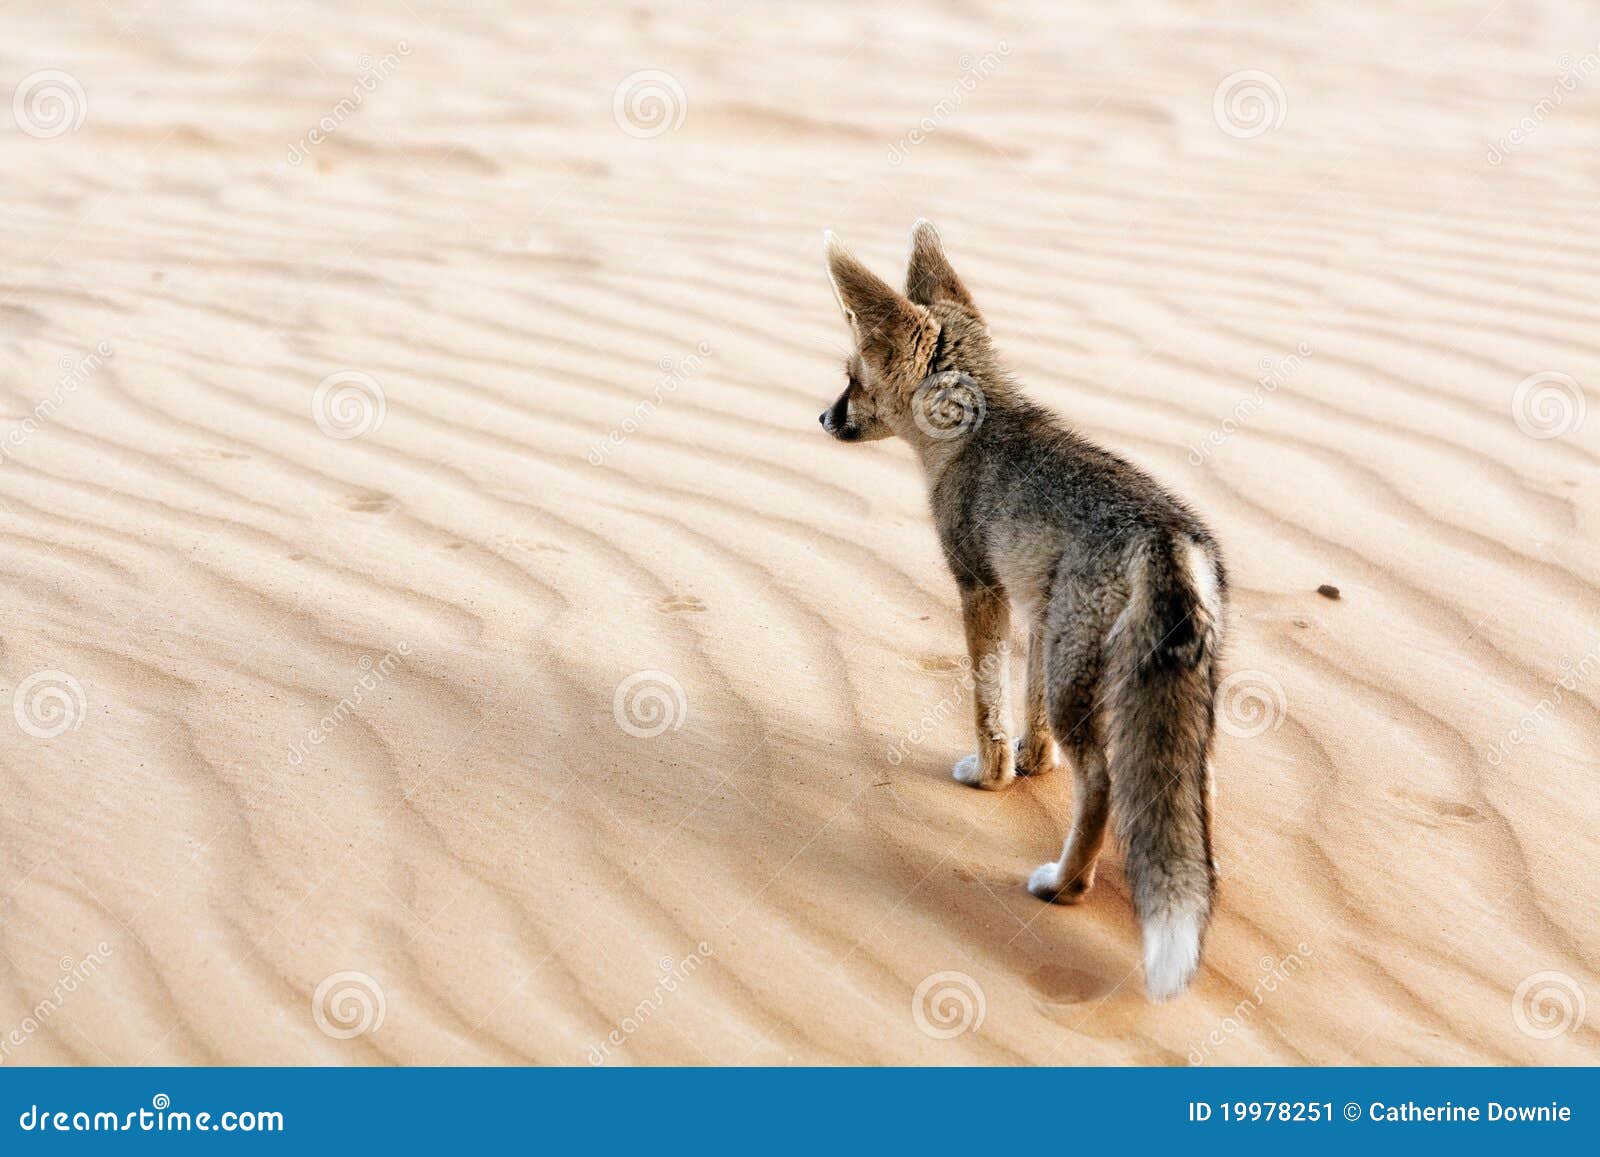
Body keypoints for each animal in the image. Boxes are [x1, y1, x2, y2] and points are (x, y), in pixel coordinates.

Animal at [818, 221, 1227, 1000]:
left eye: (852, 378)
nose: (822, 417)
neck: (970, 434)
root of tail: (1163, 533)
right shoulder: (1036, 611)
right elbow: (1027, 709)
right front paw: (1033, 765)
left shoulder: (980, 589)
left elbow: (988, 707)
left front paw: (993, 775)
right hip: (1147, 691)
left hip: (1082, 683)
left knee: (1101, 783)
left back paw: (1065, 884)